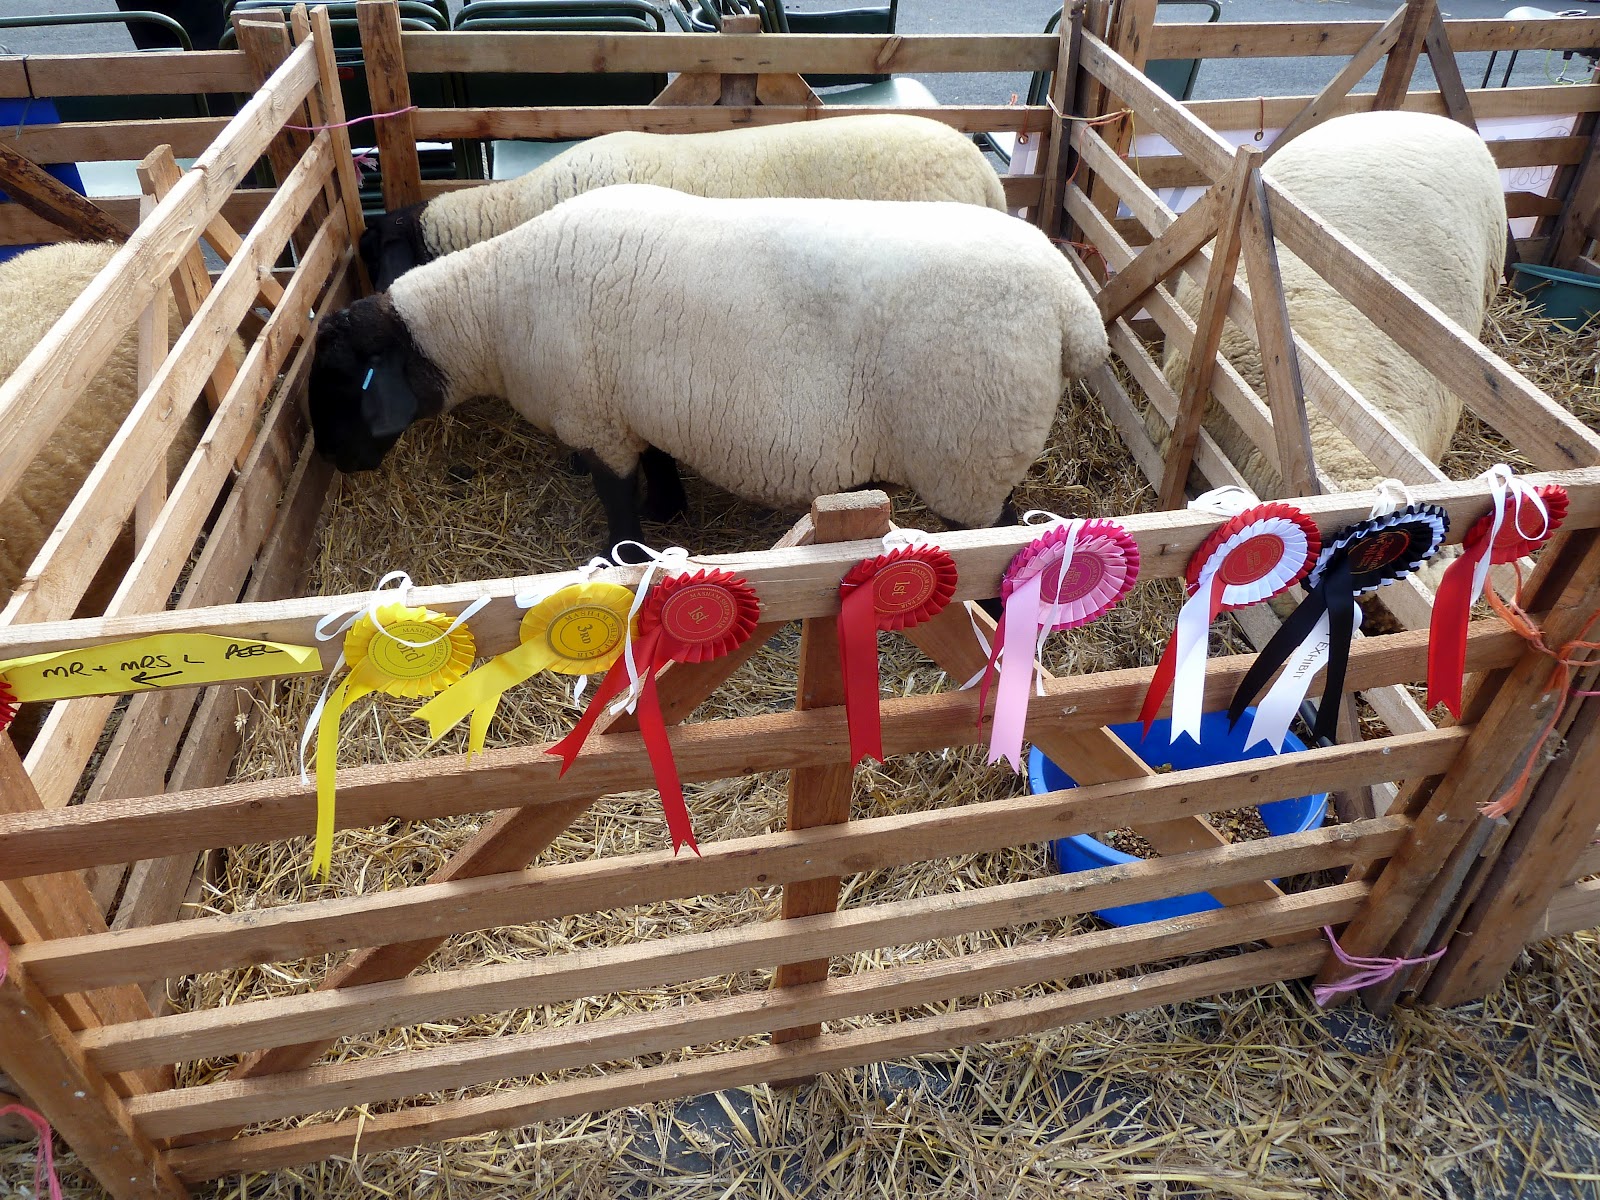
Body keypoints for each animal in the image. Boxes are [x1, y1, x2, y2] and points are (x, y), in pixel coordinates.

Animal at [312, 184, 1107, 558]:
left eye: (343, 383)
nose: (334, 461)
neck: (492, 312)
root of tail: (1071, 307)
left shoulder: (597, 420)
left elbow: (617, 499)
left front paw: (622, 555)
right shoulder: (636, 404)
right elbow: (659, 463)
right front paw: (670, 510)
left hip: (965, 452)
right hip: (981, 451)